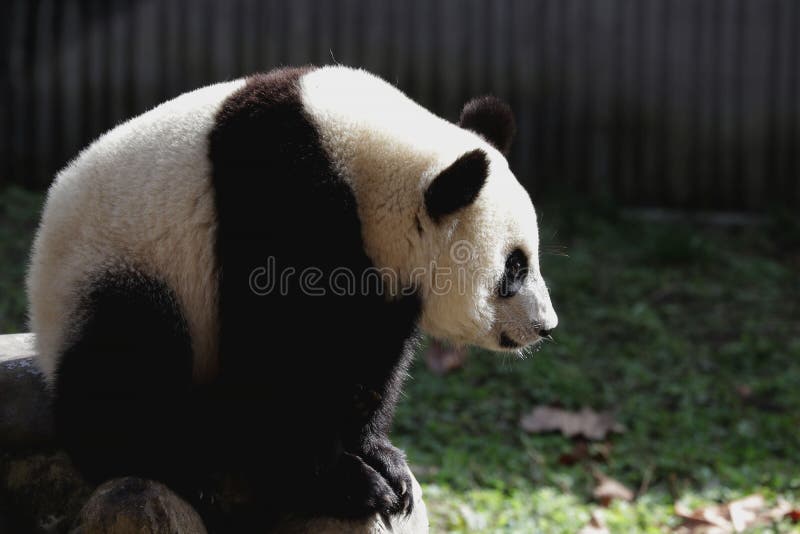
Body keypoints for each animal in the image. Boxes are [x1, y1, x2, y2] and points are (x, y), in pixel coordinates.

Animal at [26, 65, 558, 526]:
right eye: (513, 267)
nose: (545, 325)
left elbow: (367, 358)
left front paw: (384, 461)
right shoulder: (285, 203)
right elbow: (283, 361)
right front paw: (347, 485)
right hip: (122, 269)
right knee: (130, 363)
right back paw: (177, 465)